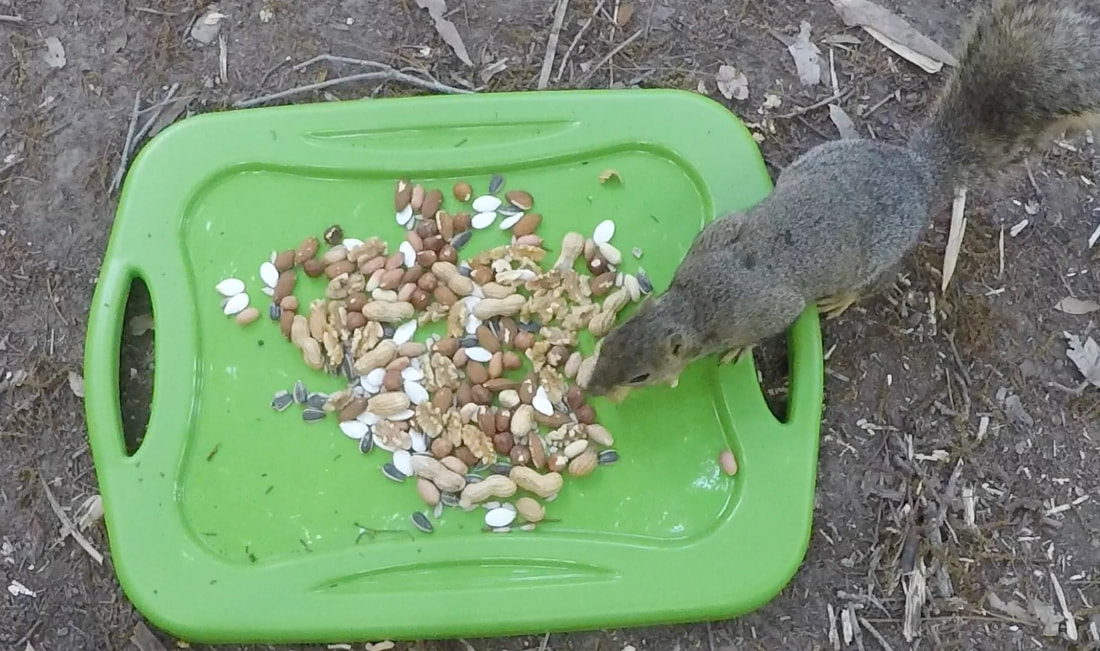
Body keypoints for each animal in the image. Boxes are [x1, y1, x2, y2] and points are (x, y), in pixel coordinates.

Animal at [583, 0, 1100, 398]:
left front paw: (740, 350)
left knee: (872, 282)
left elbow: (769, 325)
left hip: (878, 255)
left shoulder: (764, 308)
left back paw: (841, 299)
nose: (590, 391)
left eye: (641, 375)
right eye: (609, 340)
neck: (695, 303)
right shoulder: (714, 239)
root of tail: (918, 172)